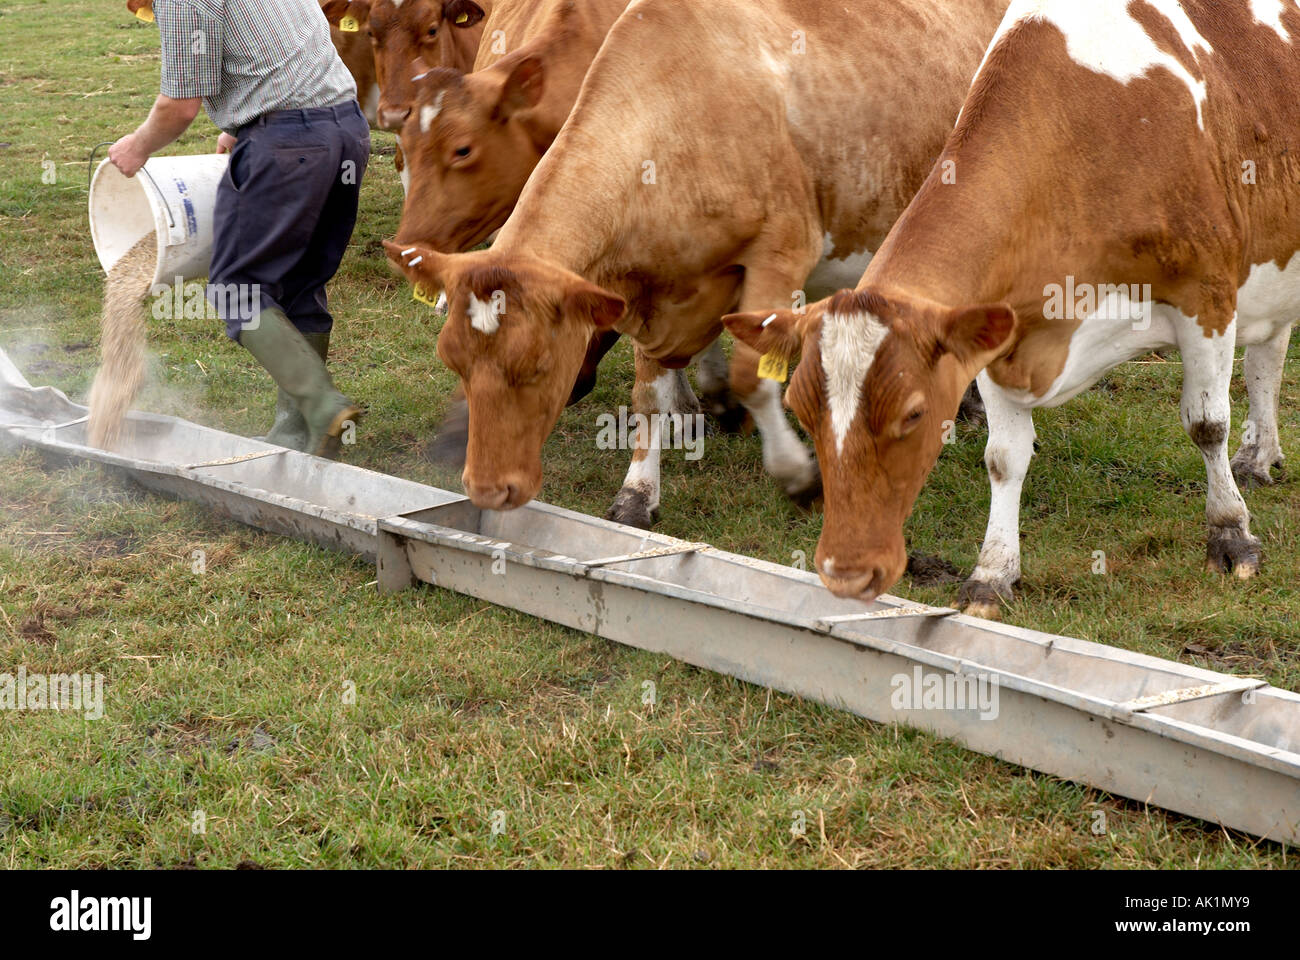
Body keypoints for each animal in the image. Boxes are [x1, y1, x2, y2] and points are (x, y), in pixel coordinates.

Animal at [383, 0, 1011, 527]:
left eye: (537, 366)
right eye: (453, 361)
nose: (486, 489)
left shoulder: (782, 251)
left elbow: (752, 376)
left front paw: (798, 474)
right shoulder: (645, 291)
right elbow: (649, 395)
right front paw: (638, 491)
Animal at [724, 0, 1300, 618]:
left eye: (914, 414)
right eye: (800, 411)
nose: (847, 571)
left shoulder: (1207, 295)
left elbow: (1206, 424)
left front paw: (1231, 534)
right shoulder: (997, 329)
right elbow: (1003, 456)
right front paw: (993, 571)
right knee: (1268, 353)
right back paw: (1259, 454)